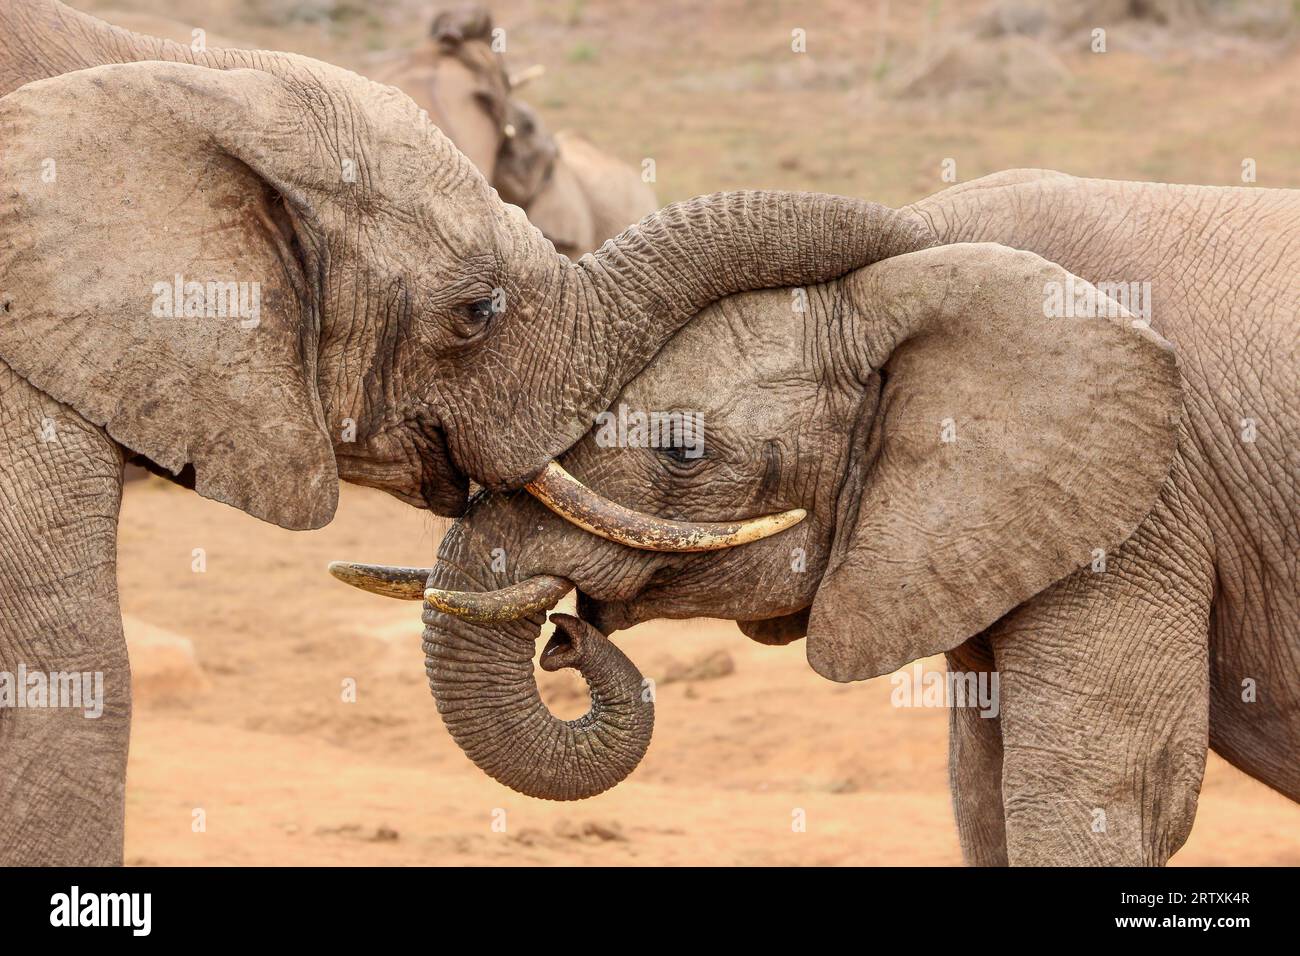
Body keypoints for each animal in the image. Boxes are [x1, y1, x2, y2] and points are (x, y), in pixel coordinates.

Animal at [339, 169, 1299, 865]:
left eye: (682, 450)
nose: (567, 639)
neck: (916, 275)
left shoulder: (1146, 514)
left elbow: (1099, 801)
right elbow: (983, 797)